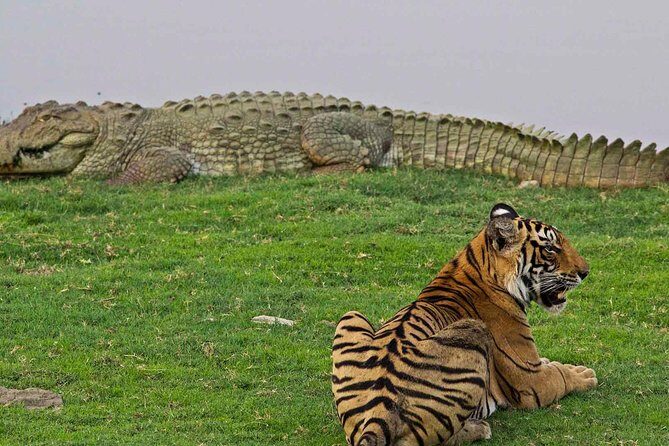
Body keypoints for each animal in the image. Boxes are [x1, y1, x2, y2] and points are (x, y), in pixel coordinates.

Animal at [331, 203, 597, 446]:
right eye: (550, 248)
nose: (585, 272)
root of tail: (379, 416)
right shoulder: (529, 380)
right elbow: (561, 375)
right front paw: (584, 374)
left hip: (351, 316)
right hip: (473, 331)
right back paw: (479, 428)